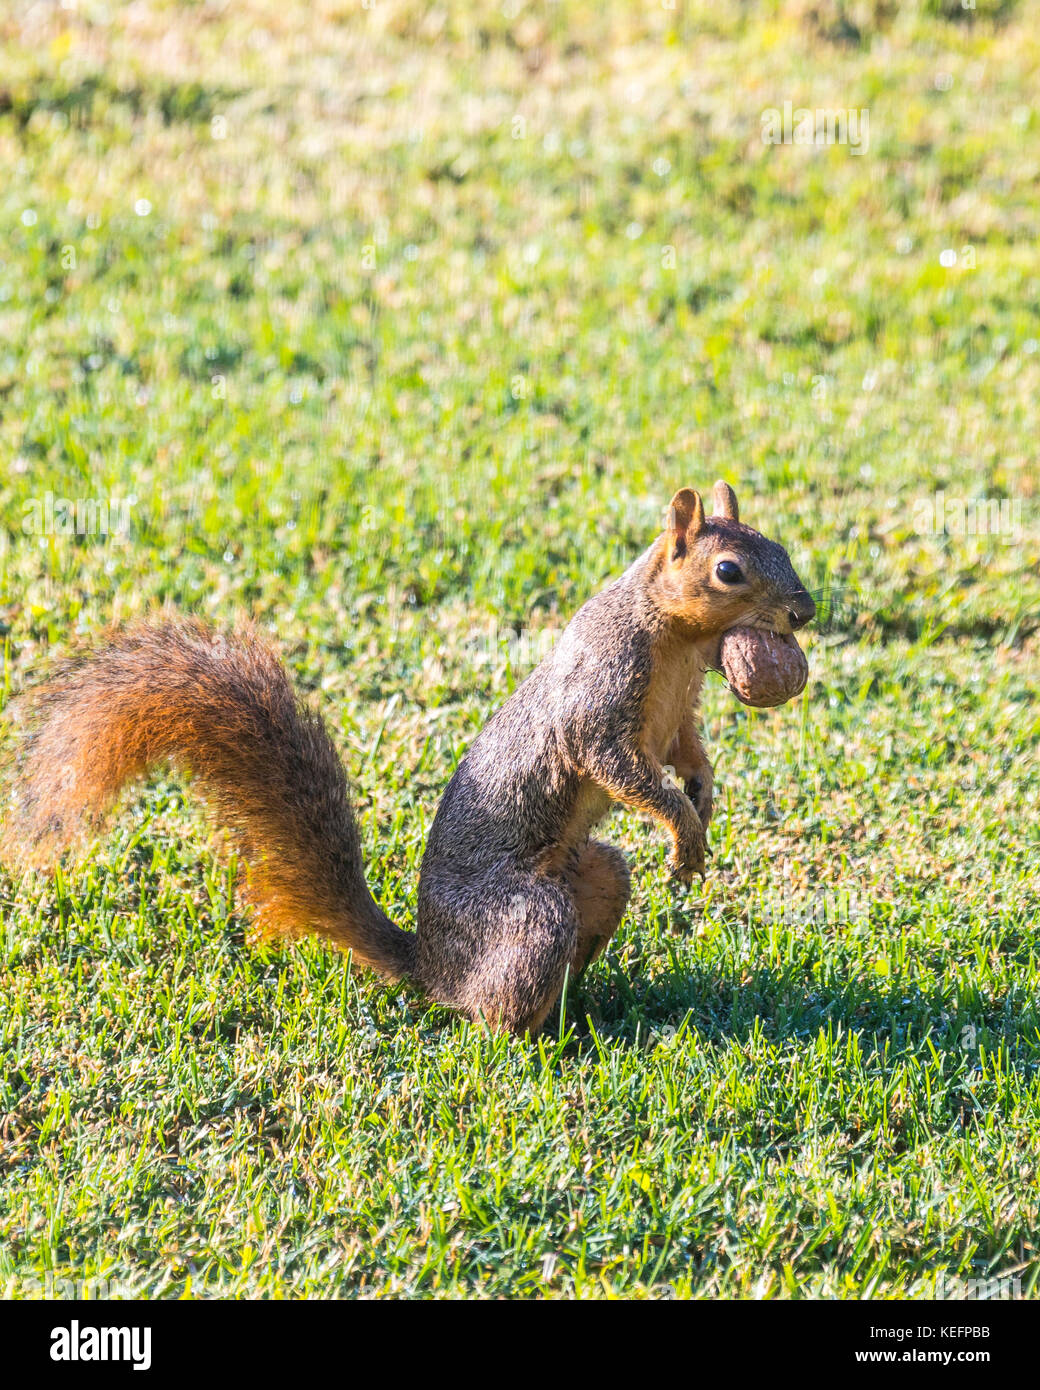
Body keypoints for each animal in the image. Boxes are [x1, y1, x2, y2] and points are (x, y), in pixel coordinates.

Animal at [2, 481, 814, 1036]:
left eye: (779, 545)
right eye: (730, 571)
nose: (805, 612)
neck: (676, 639)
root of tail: (432, 966)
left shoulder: (678, 710)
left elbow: (686, 750)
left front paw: (703, 797)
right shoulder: (604, 701)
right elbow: (621, 767)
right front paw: (683, 830)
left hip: (596, 876)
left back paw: (585, 1013)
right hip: (524, 914)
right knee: (494, 1007)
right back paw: (546, 1041)